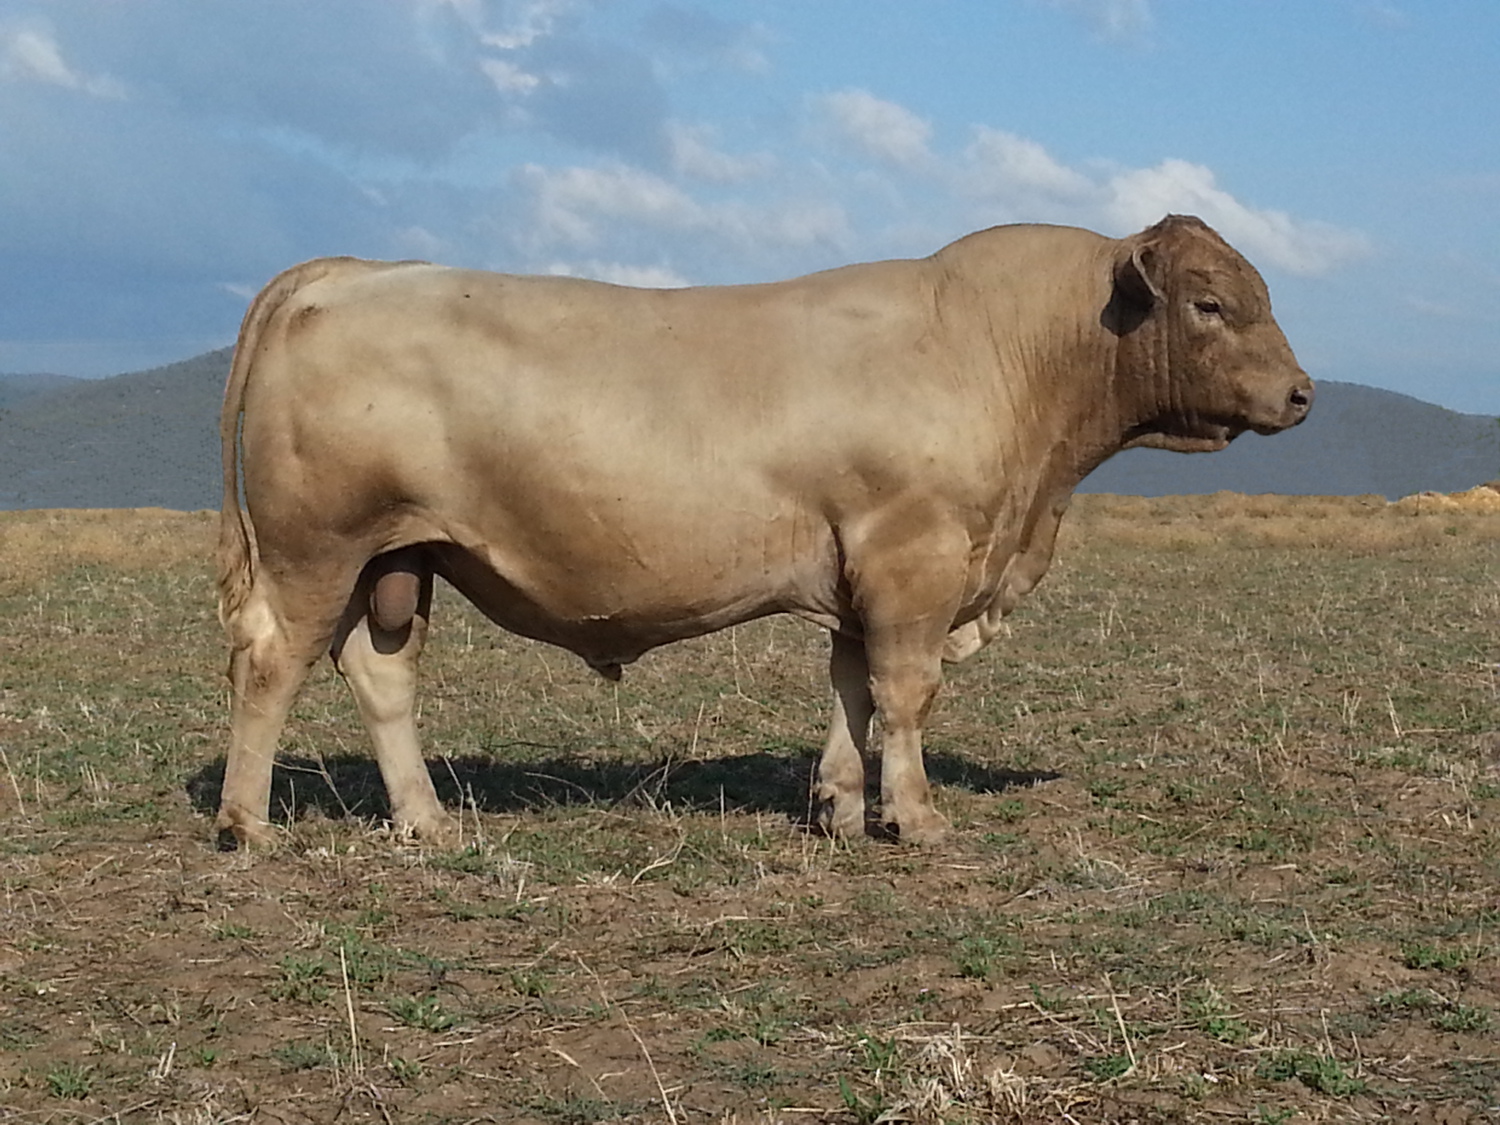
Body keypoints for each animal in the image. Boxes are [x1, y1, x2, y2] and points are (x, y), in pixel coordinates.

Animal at [214, 214, 1312, 850]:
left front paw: (839, 804)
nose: (1301, 393)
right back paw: (247, 825)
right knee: (269, 666)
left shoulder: (861, 571)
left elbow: (852, 689)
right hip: (318, 550)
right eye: (1210, 303)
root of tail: (350, 269)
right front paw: (916, 816)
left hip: (396, 560)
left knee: (380, 676)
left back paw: (427, 820)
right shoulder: (915, 557)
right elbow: (906, 692)